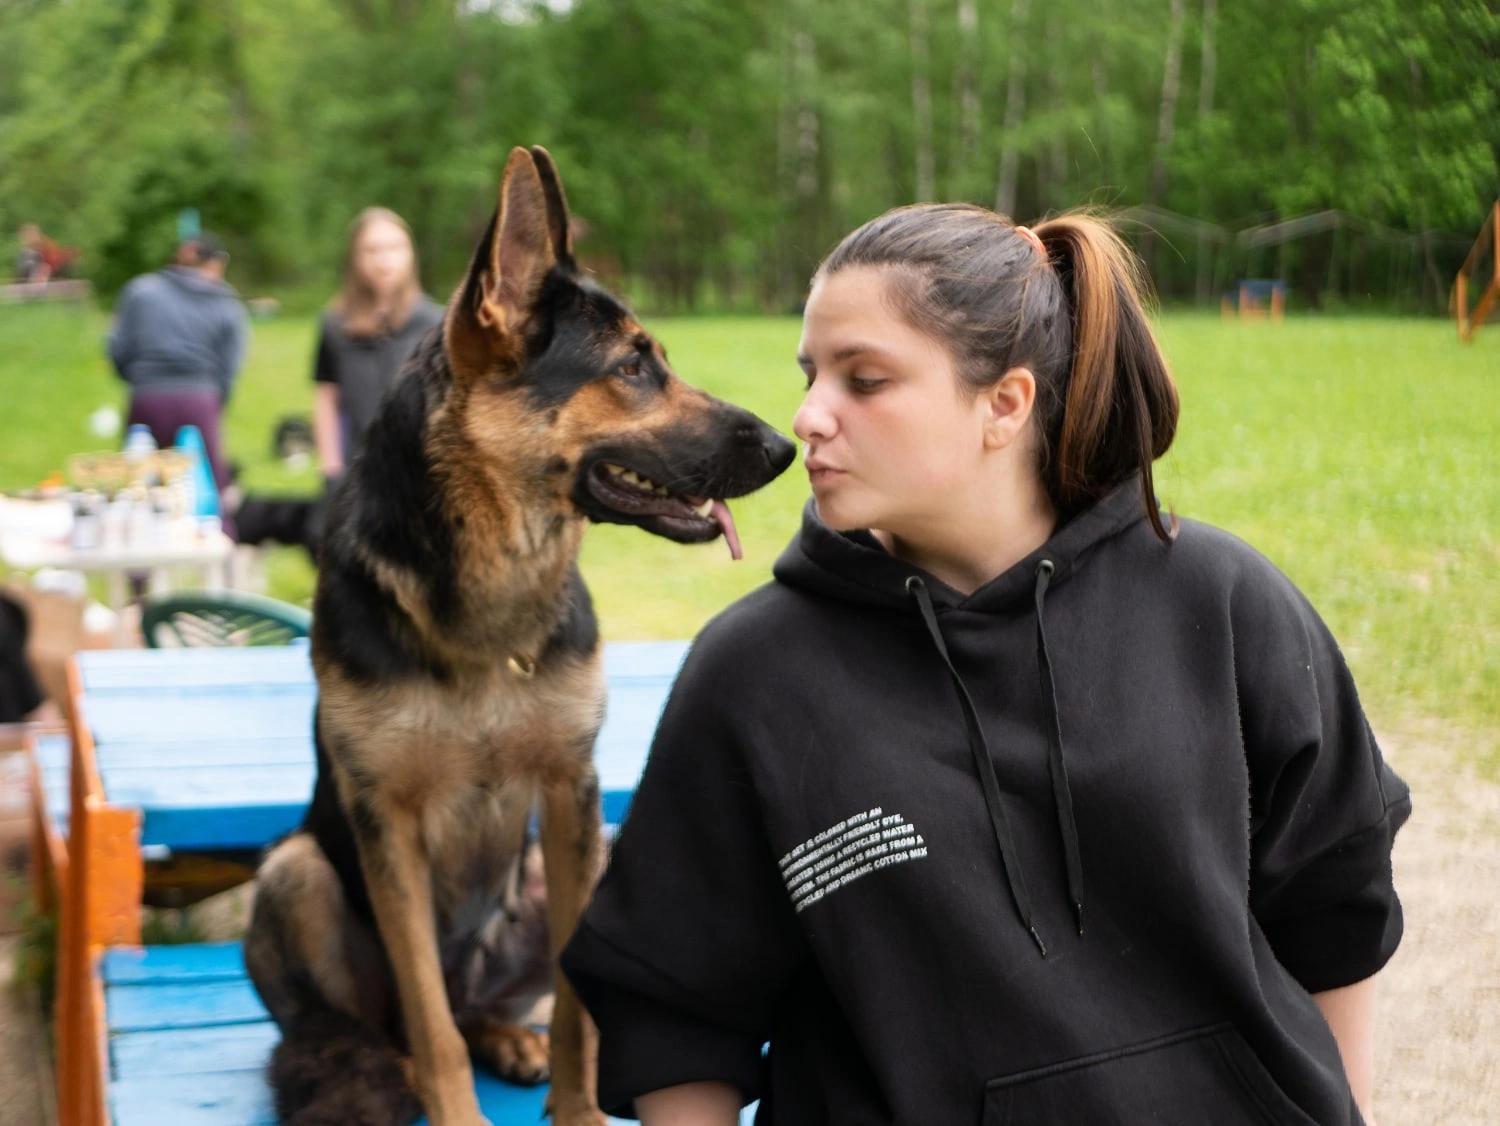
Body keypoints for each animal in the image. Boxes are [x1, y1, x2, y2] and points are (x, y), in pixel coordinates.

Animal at [246, 145, 798, 1121]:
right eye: (634, 368)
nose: (785, 447)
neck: (485, 602)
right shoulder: (385, 825)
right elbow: (428, 1023)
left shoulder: (572, 798)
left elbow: (579, 1004)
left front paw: (578, 1104)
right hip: (298, 874)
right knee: (390, 1022)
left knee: (480, 1011)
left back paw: (510, 1036)